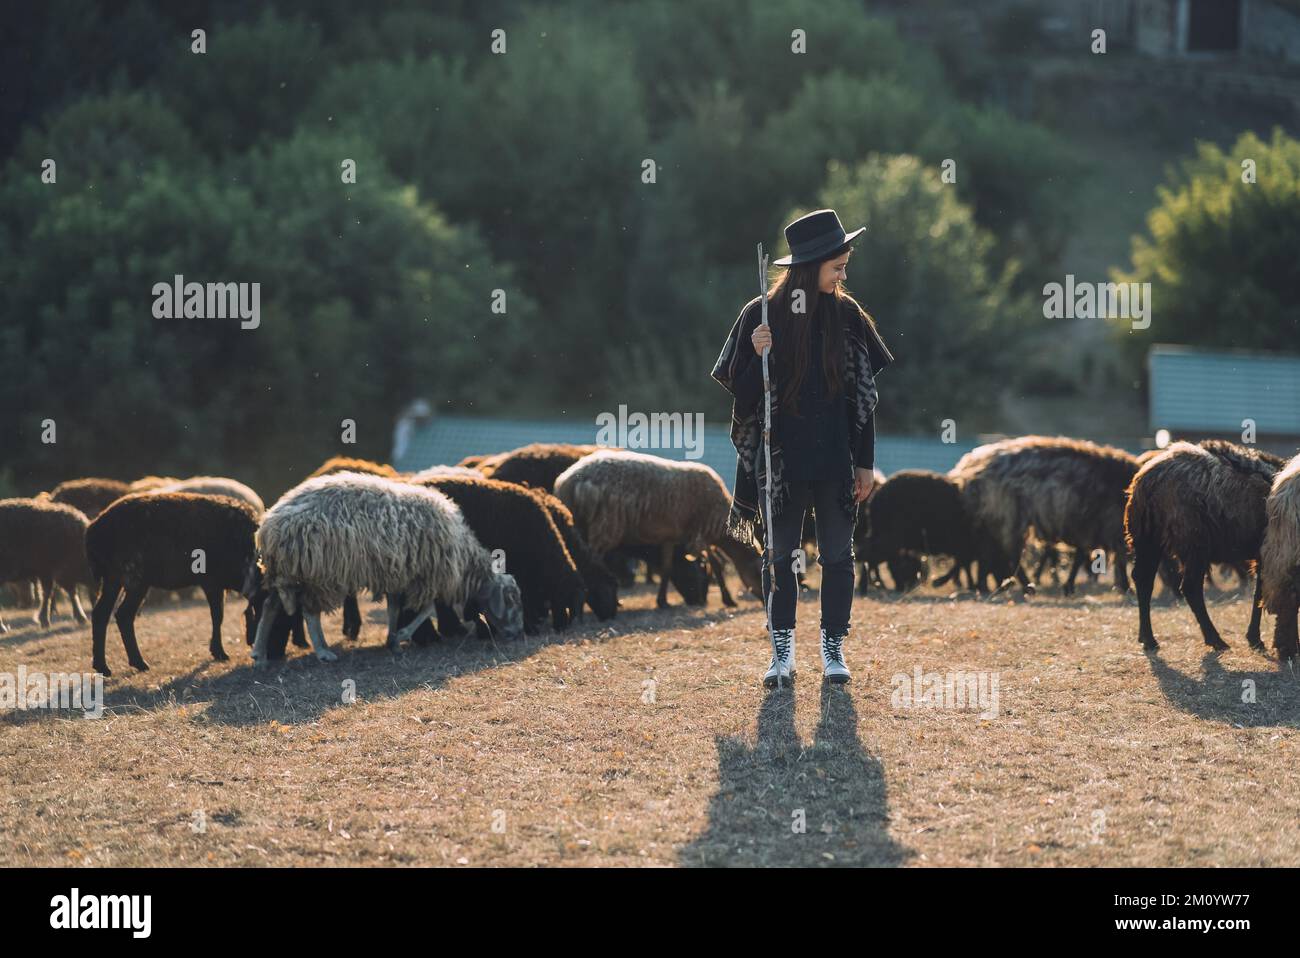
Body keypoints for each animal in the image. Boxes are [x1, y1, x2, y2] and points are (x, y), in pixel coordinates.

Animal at [83, 492, 262, 675]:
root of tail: (92, 530)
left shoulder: (217, 584)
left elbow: (218, 615)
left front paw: (217, 651)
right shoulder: (211, 581)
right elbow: (218, 615)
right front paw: (220, 652)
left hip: (113, 579)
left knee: (102, 614)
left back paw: (104, 666)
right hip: (134, 578)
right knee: (123, 614)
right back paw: (137, 663)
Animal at [250, 472, 523, 667]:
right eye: (512, 601)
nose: (518, 634)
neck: (463, 557)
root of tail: (268, 526)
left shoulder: (399, 575)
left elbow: (394, 608)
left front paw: (392, 639)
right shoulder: (426, 576)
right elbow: (427, 608)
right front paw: (400, 635)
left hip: (291, 572)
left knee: (270, 606)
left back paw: (259, 655)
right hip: (321, 575)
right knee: (310, 611)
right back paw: (323, 651)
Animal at [553, 449, 763, 608]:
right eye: (756, 572)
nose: (762, 600)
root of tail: (568, 481)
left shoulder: (672, 535)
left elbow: (667, 567)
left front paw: (662, 601)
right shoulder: (700, 533)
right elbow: (716, 564)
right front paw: (728, 600)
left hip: (579, 525)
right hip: (605, 526)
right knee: (594, 560)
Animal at [955, 436, 1138, 596]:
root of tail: (968, 469)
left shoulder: (1092, 528)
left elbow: (1083, 556)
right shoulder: (1107, 526)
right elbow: (1114, 558)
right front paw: (1126, 588)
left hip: (992, 520)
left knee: (989, 552)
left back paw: (986, 587)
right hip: (1008, 517)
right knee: (1010, 554)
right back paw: (1026, 587)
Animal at [1125, 440, 1285, 652]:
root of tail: (1148, 480)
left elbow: (1260, 591)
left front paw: (1254, 638)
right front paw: (1258, 639)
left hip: (1147, 539)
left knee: (1143, 579)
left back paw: (1148, 638)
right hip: (1194, 542)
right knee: (1190, 587)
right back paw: (1215, 640)